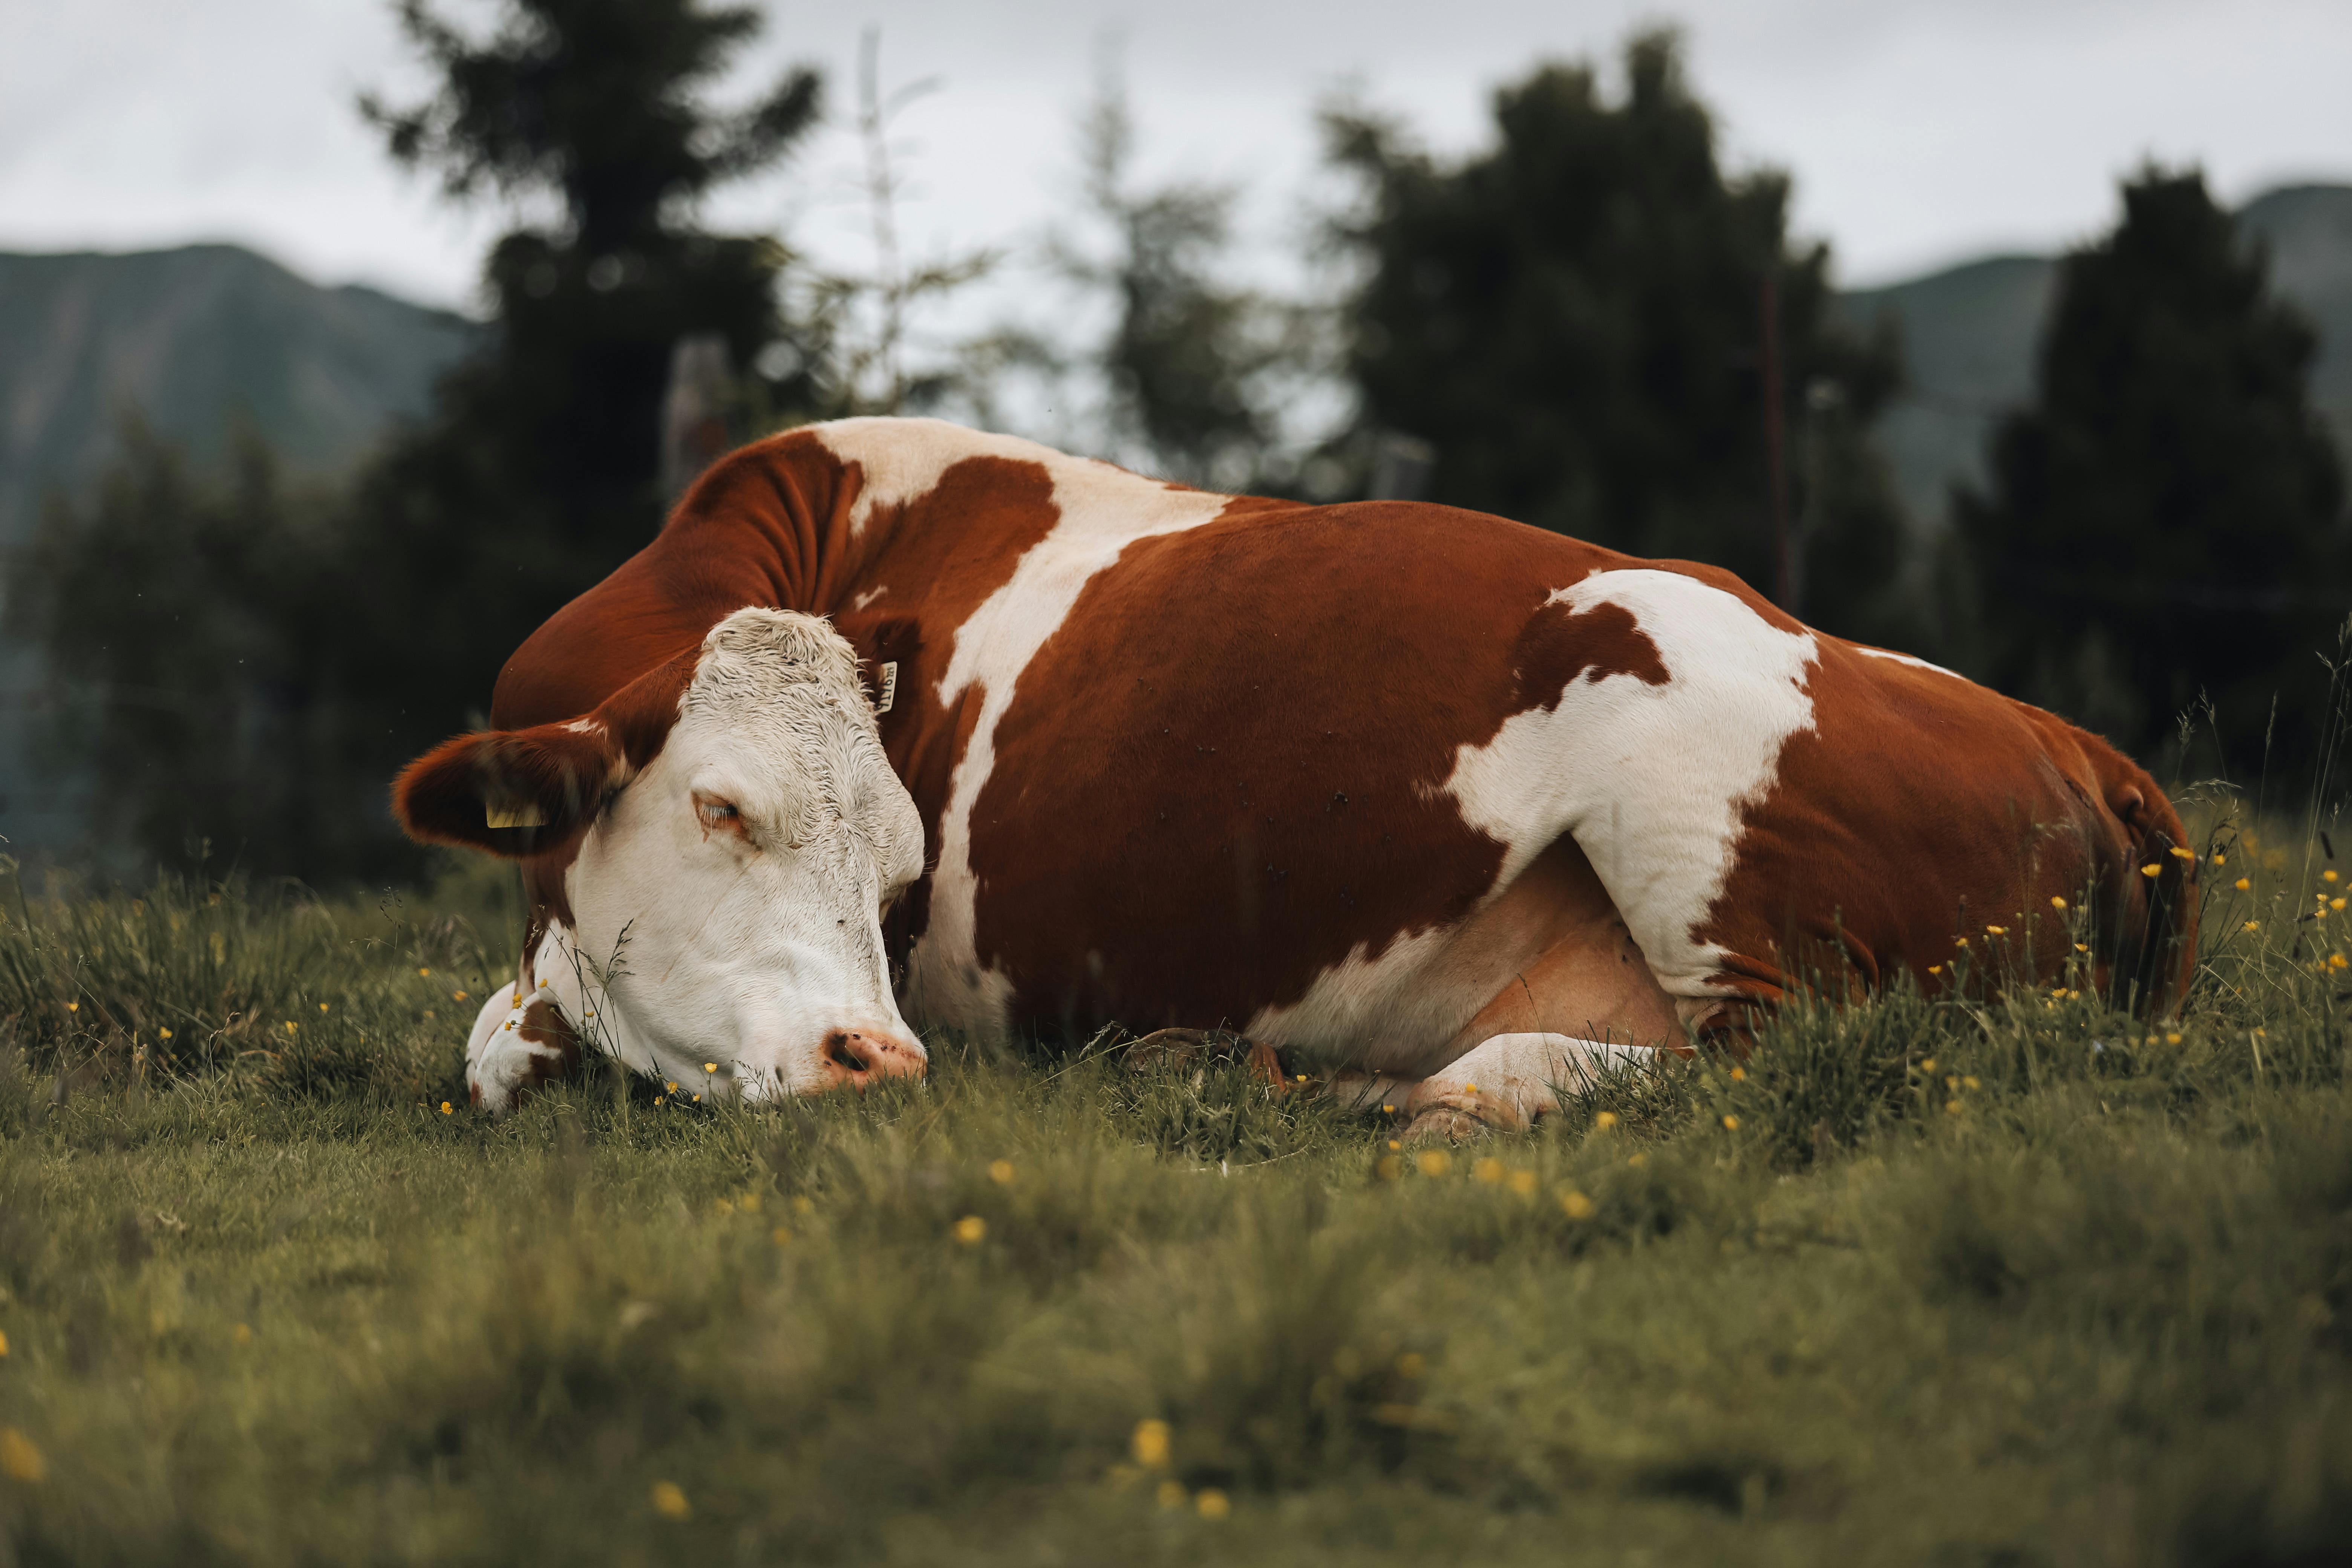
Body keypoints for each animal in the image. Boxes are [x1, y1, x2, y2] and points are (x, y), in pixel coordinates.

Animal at [393, 418, 2197, 1134]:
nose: (876, 1060)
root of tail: (2082, 743)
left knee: (1774, 1066)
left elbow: (510, 1046)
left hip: (1692, 798)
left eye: (905, 865)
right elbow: (502, 1042)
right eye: (722, 807)